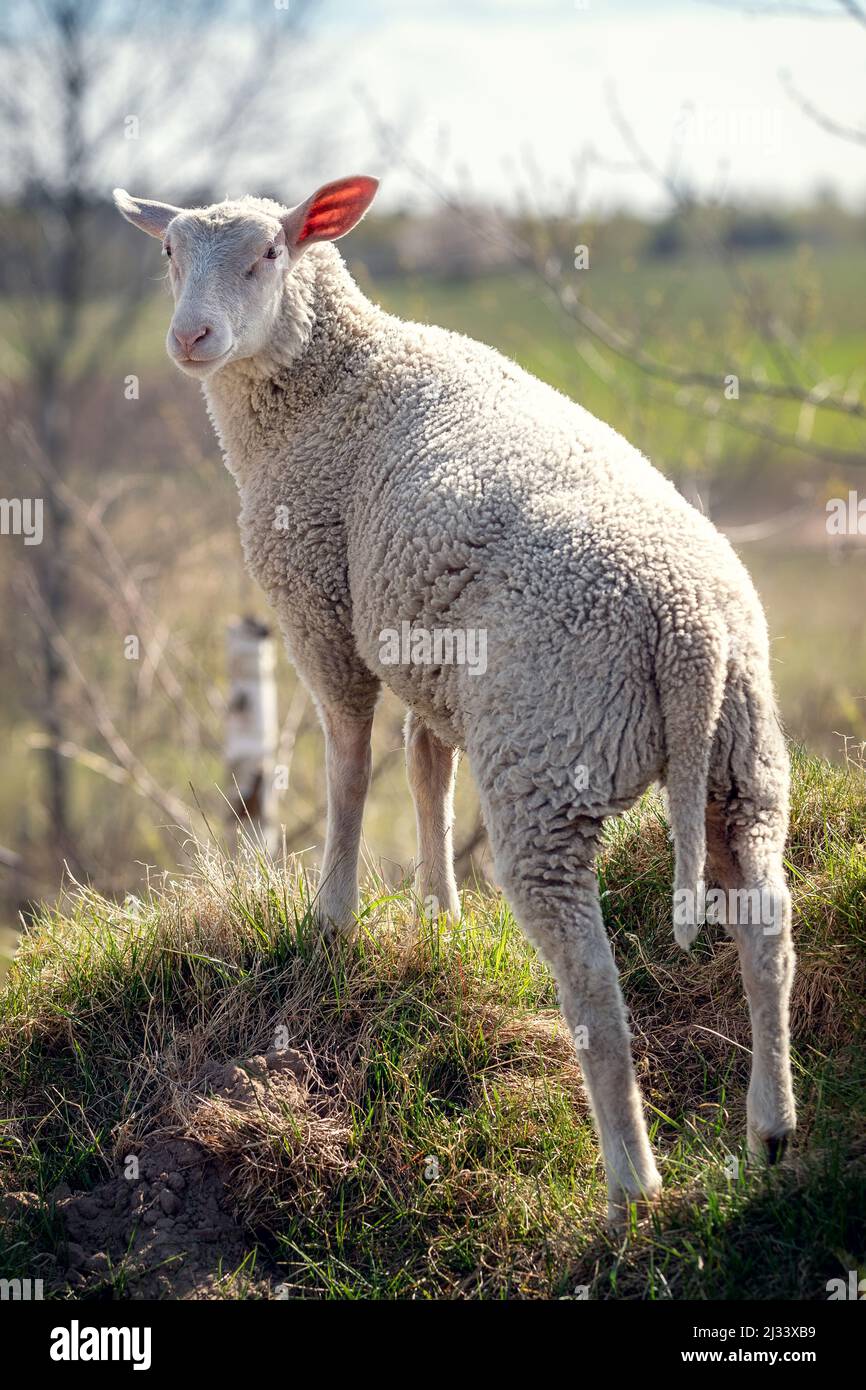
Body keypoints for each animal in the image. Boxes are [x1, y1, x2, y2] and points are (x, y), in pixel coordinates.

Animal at [115, 176, 796, 1223]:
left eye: (271, 253)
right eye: (167, 254)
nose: (192, 337)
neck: (334, 381)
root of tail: (688, 629)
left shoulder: (323, 609)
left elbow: (350, 763)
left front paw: (333, 915)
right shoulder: (427, 649)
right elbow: (425, 768)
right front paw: (439, 918)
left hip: (549, 757)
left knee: (594, 986)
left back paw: (629, 1191)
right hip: (739, 759)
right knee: (766, 931)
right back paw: (769, 1134)